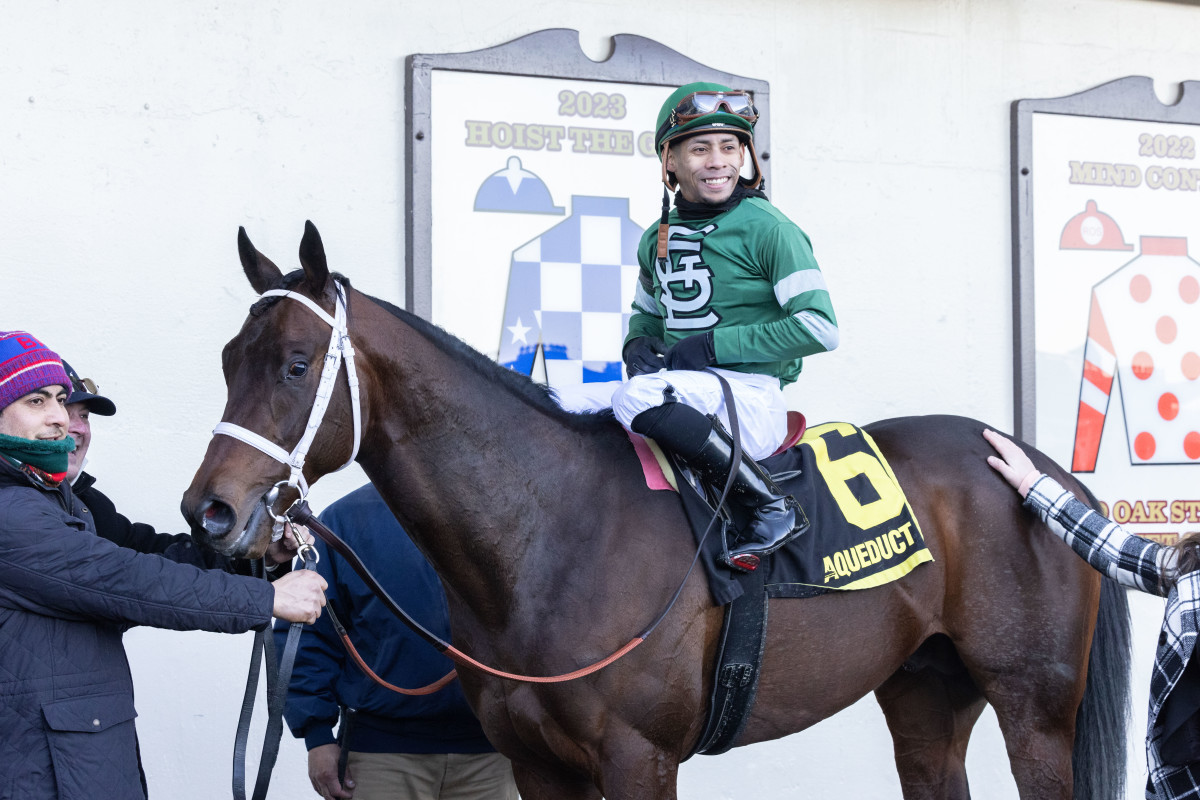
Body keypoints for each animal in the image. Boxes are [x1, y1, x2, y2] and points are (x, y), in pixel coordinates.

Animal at [182, 221, 1131, 800]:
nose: (211, 512)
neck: (548, 533)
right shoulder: (538, 764)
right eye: (229, 359)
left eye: (297, 363)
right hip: (927, 694)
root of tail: (1049, 477)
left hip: (1035, 707)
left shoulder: (639, 756)